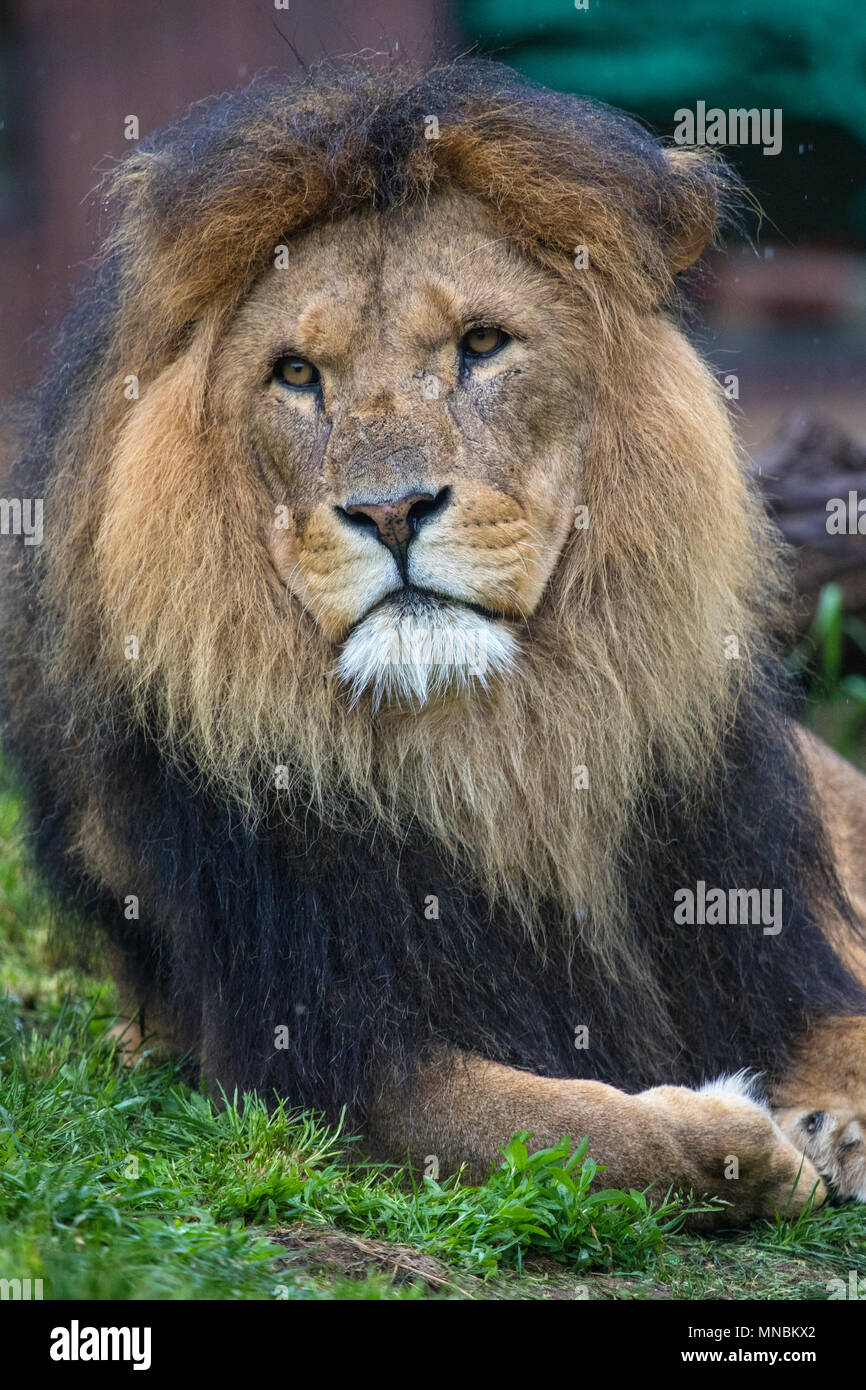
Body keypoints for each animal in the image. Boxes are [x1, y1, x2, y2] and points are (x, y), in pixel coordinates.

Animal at [2, 59, 865, 1226]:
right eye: (295, 374)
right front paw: (750, 1140)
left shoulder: (775, 959)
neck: (495, 752)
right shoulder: (320, 1057)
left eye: (481, 346)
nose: (392, 509)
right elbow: (568, 1127)